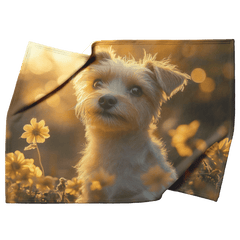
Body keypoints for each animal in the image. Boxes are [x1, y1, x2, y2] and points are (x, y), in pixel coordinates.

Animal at [73, 47, 191, 202]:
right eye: (97, 83)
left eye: (136, 90)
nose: (106, 100)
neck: (115, 145)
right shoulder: (91, 194)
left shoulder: (138, 193)